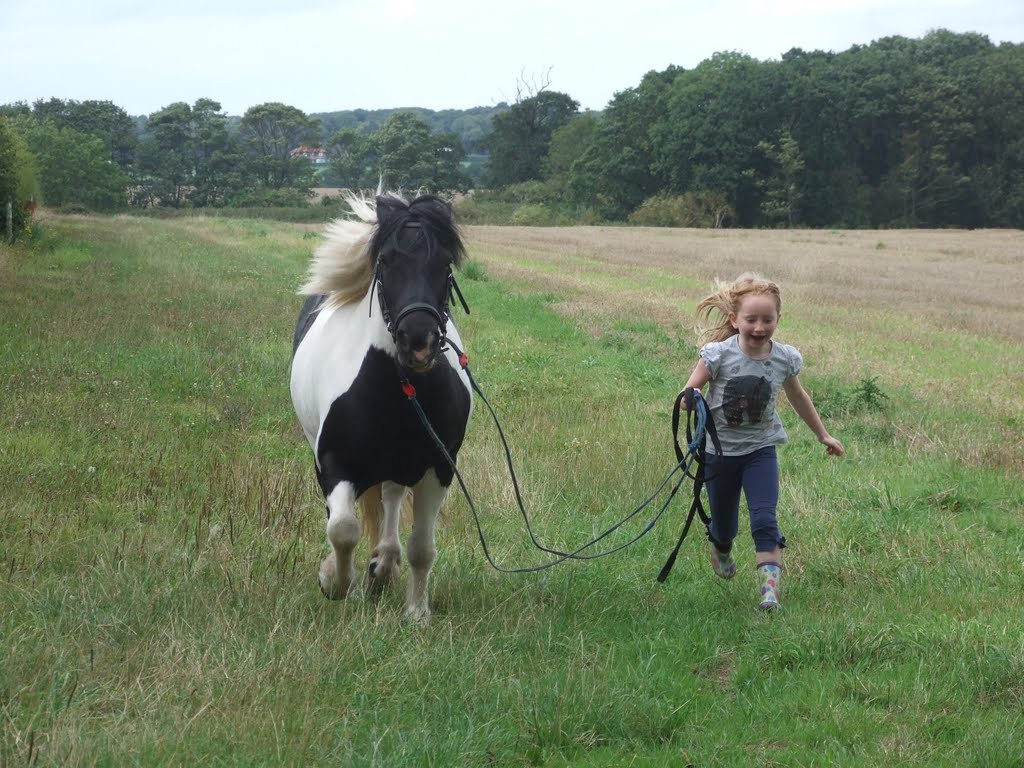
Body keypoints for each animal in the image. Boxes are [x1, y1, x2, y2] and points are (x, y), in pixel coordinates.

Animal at [290, 191, 472, 623]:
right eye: (386, 261)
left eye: (444, 263)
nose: (418, 341)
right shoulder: (334, 465)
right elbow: (342, 530)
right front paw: (334, 582)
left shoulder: (438, 469)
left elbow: (422, 547)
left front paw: (417, 613)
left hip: (400, 465)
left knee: (390, 499)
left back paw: (384, 565)